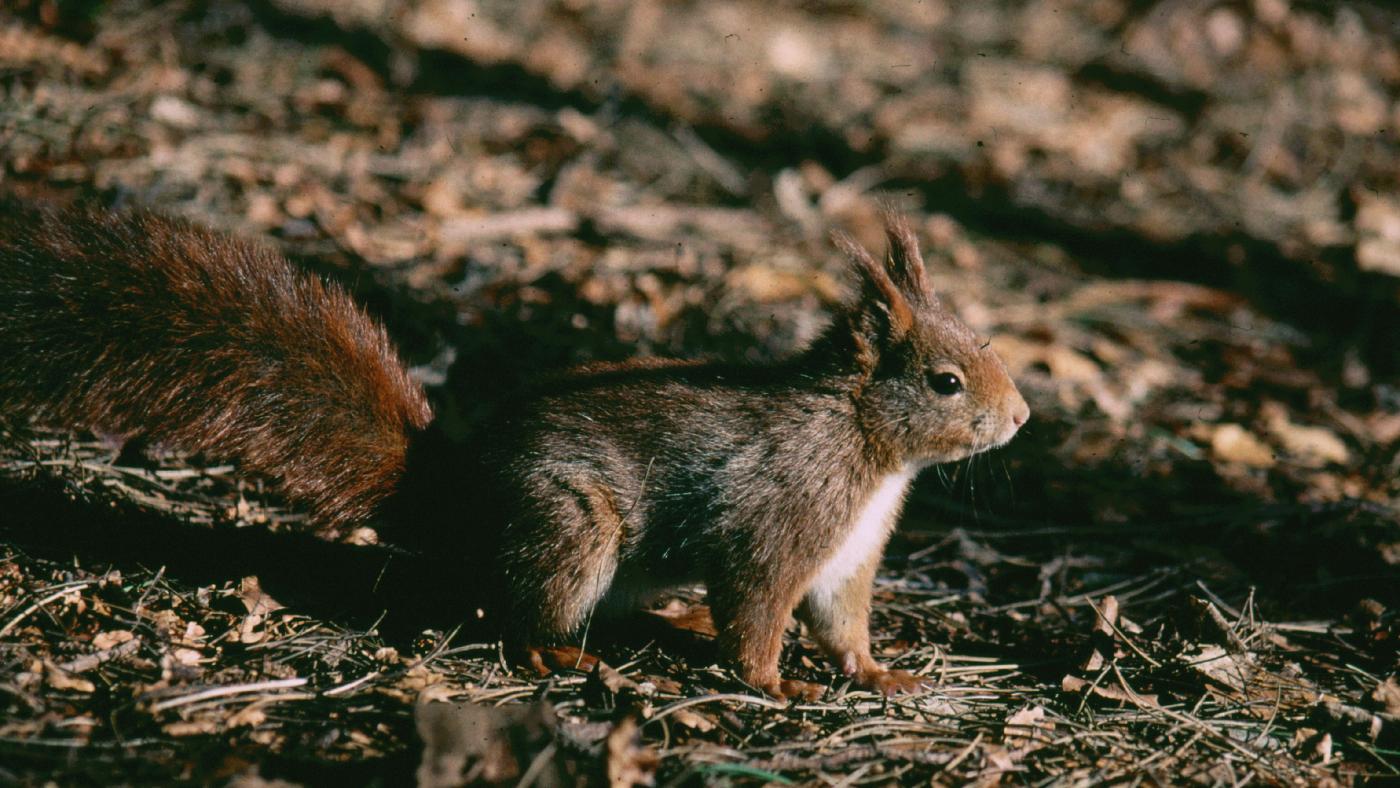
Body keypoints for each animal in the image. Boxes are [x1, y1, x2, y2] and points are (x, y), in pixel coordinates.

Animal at [0, 201, 1028, 700]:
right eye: (946, 380)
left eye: (986, 339)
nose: (1021, 418)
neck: (866, 446)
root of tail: (453, 495)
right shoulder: (780, 520)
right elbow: (756, 612)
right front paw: (777, 684)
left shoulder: (851, 554)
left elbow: (844, 624)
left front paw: (877, 673)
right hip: (571, 531)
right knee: (521, 614)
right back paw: (560, 657)